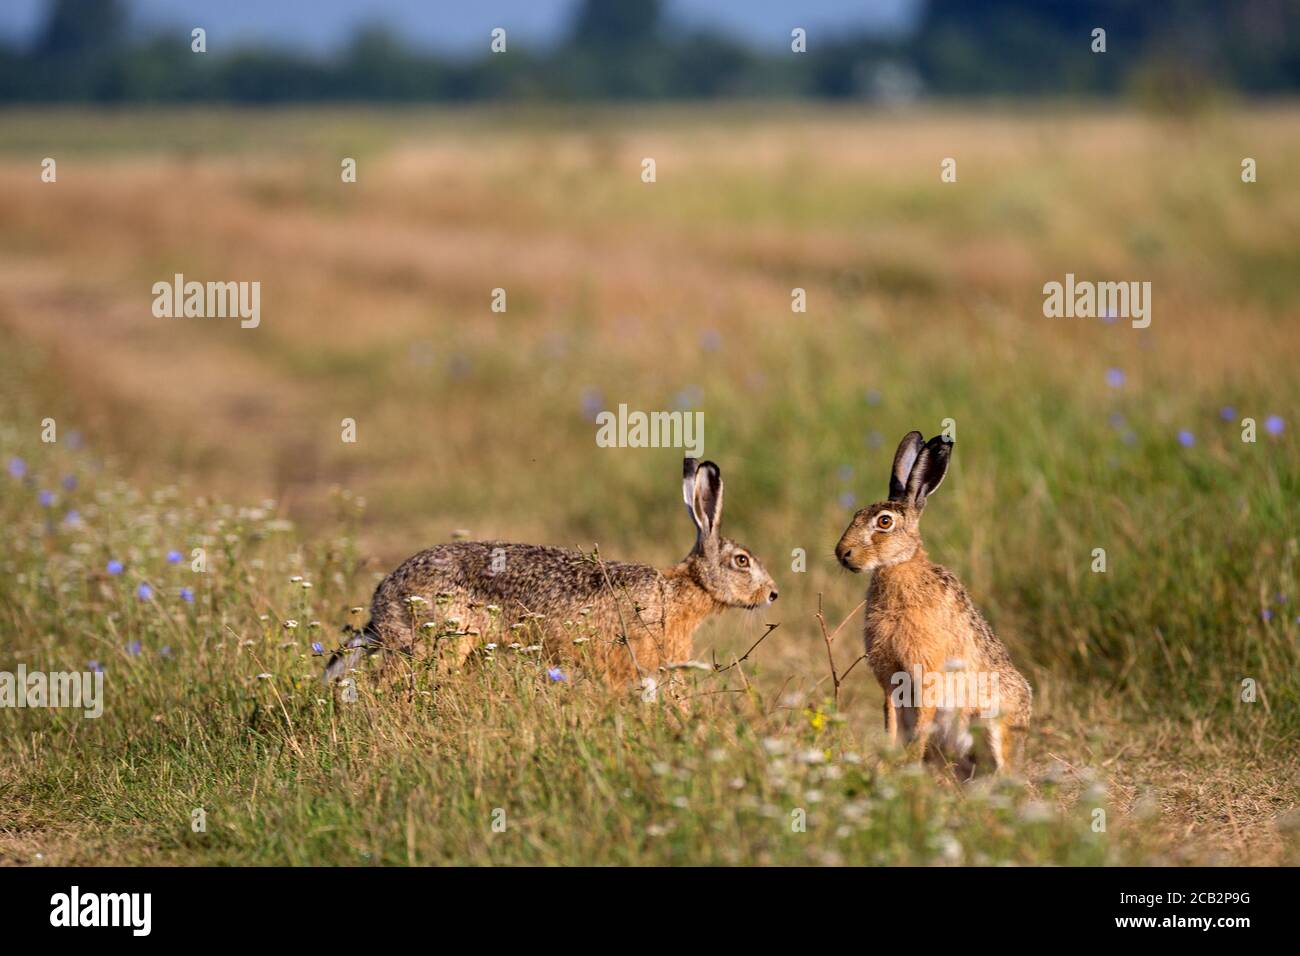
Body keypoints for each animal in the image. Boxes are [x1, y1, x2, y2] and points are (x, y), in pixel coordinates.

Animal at [834, 431, 1031, 777]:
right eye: (856, 514)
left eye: (884, 522)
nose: (842, 553)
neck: (900, 567)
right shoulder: (891, 682)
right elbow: (891, 723)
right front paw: (888, 767)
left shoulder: (926, 674)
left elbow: (921, 725)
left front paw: (907, 767)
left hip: (994, 721)